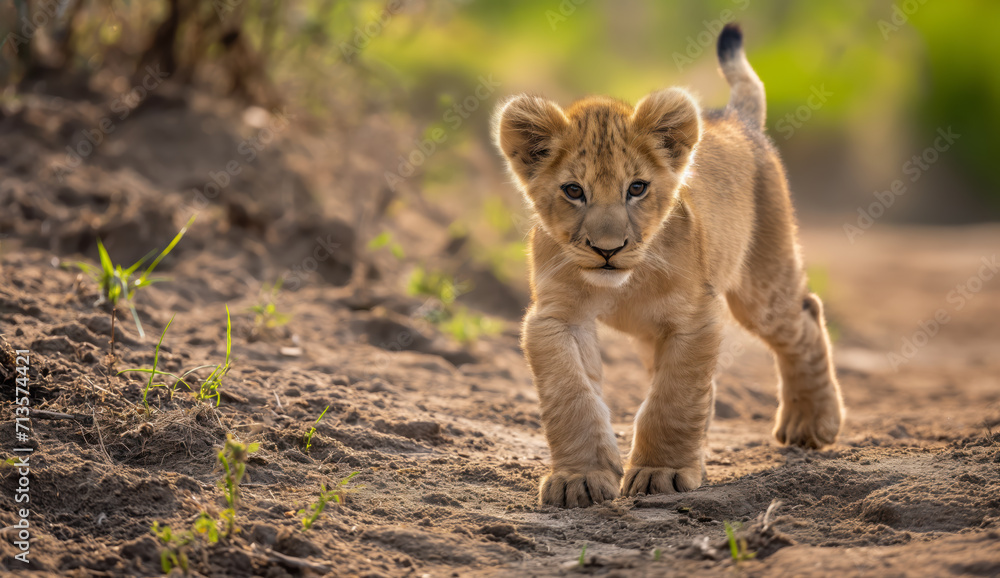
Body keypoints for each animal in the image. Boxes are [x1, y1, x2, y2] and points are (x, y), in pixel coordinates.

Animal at [493, 24, 845, 507]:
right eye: (573, 191)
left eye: (637, 188)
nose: (607, 249)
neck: (626, 281)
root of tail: (736, 118)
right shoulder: (555, 317)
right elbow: (572, 394)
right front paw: (579, 479)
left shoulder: (694, 317)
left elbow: (674, 397)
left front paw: (662, 471)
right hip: (652, 330)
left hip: (761, 283)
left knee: (804, 315)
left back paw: (810, 423)